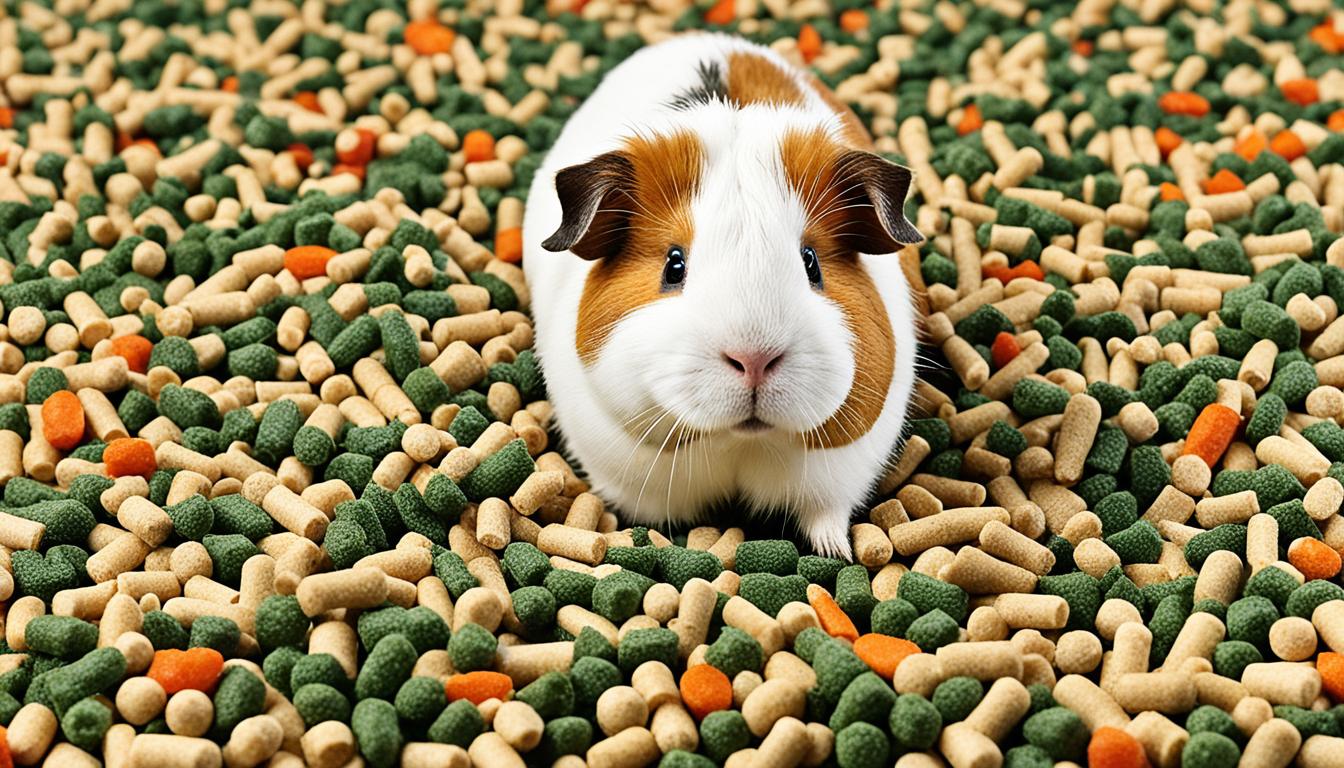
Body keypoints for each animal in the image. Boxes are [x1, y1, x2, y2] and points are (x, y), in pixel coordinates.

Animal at [522, 33, 924, 558]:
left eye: (811, 262)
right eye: (674, 265)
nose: (754, 359)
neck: (740, 444)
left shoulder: (841, 473)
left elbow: (825, 513)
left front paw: (837, 551)